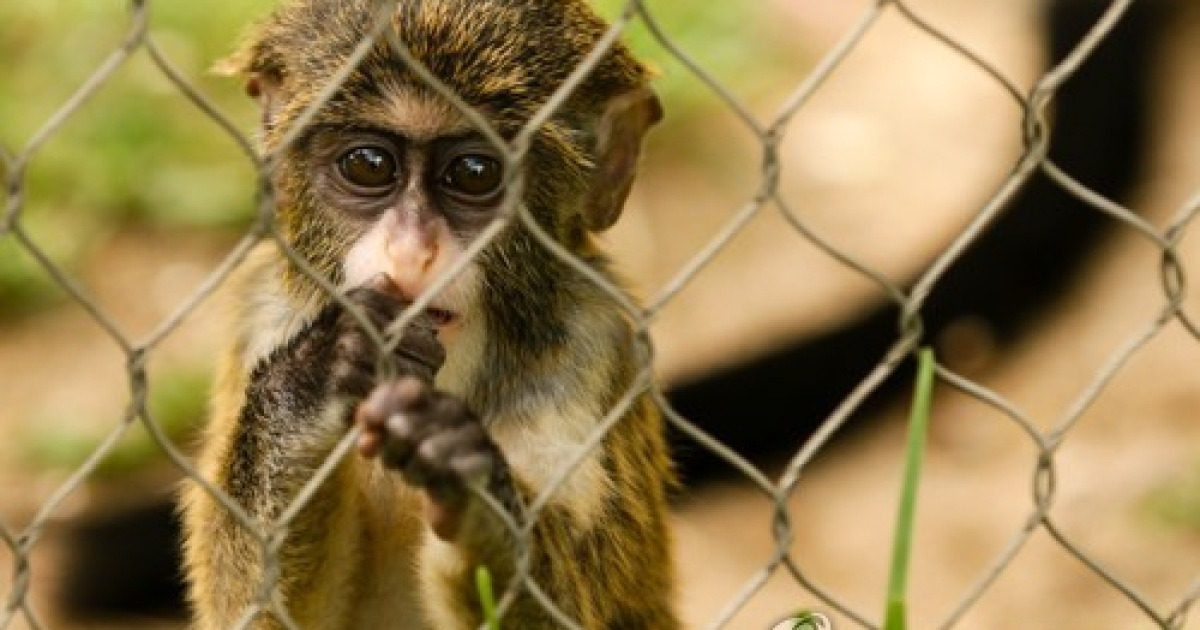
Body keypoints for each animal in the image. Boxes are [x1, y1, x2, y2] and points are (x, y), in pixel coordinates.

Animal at [179, 1, 678, 629]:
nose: (410, 252)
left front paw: (475, 496)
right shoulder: (264, 307)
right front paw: (314, 378)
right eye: (369, 165)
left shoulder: (596, 339)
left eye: (473, 173)